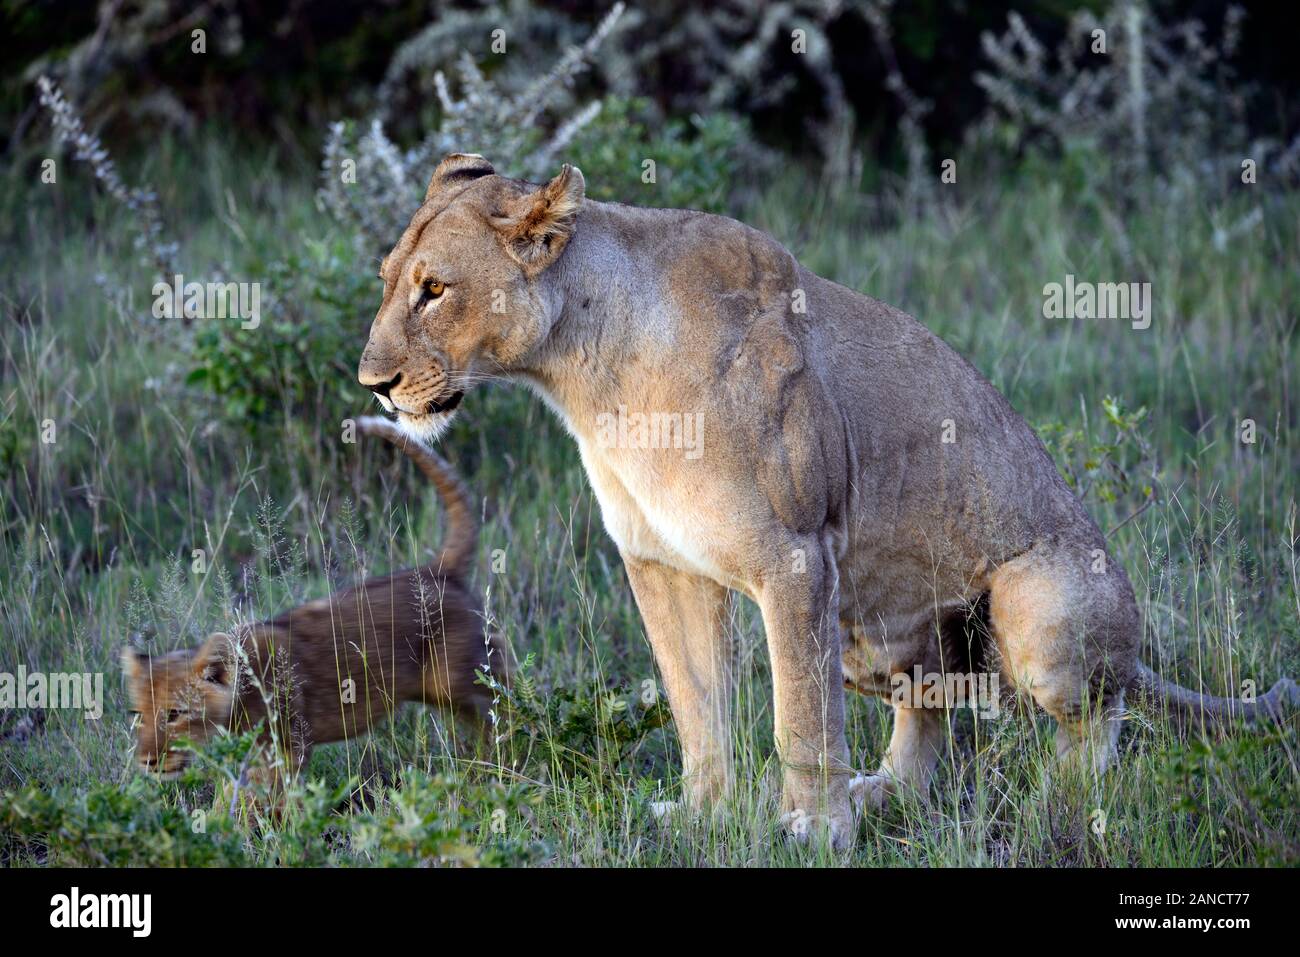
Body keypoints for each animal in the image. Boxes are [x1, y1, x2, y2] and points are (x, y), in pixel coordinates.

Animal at [122, 416, 510, 784]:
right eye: (138, 716)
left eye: (174, 714)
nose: (147, 761)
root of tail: (437, 569)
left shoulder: (289, 745)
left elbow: (272, 798)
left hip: (456, 679)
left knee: (501, 690)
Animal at [357, 152, 1297, 848]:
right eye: (389, 279)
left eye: (435, 290)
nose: (373, 383)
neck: (589, 375)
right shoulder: (661, 564)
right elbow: (697, 704)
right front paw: (704, 815)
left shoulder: (794, 558)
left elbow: (799, 717)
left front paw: (813, 829)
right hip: (876, 627)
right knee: (928, 718)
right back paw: (883, 793)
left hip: (1042, 606)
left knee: (1100, 717)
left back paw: (1058, 808)